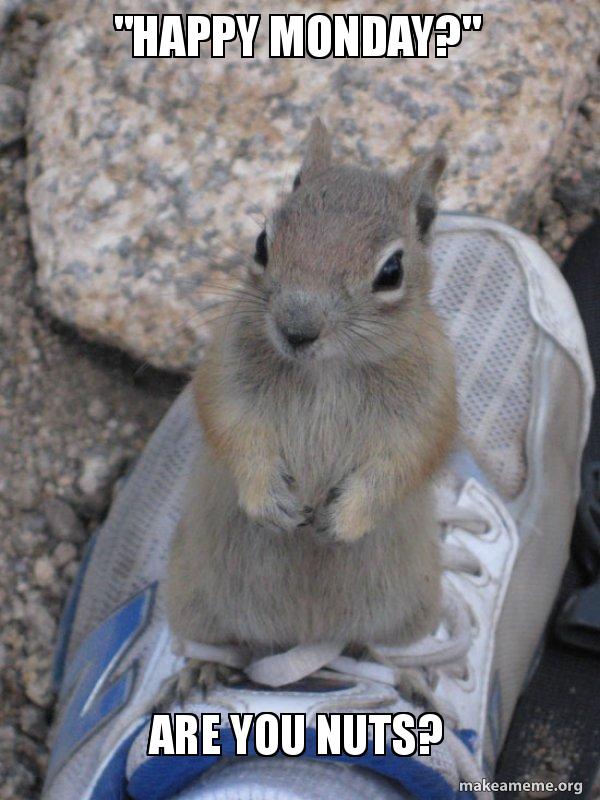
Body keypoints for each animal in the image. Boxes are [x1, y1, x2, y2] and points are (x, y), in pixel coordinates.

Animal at [166, 118, 457, 684]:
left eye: (392, 271)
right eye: (262, 241)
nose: (296, 329)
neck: (325, 371)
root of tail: (307, 633)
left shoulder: (428, 405)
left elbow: (403, 462)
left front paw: (345, 518)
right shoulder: (227, 377)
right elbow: (234, 432)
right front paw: (268, 499)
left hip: (414, 611)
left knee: (370, 645)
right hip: (191, 597)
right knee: (226, 644)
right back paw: (204, 670)